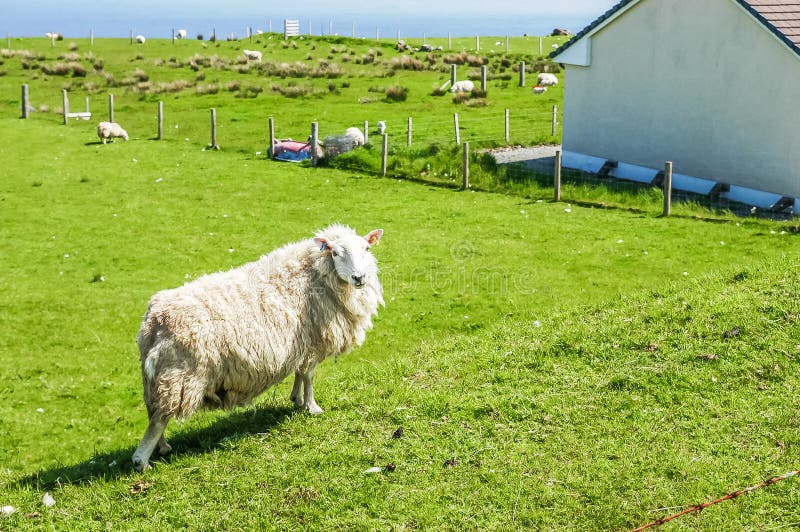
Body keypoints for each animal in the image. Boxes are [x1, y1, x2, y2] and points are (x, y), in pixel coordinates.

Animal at [131, 224, 385, 472]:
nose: (359, 277)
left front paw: (296, 398)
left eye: (366, 249)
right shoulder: (312, 342)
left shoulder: (300, 345)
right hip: (180, 375)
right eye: (335, 253)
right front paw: (312, 406)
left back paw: (162, 447)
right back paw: (142, 461)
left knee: (154, 411)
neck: (314, 274)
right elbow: (309, 376)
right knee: (158, 420)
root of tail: (155, 320)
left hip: (157, 379)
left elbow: (300, 373)